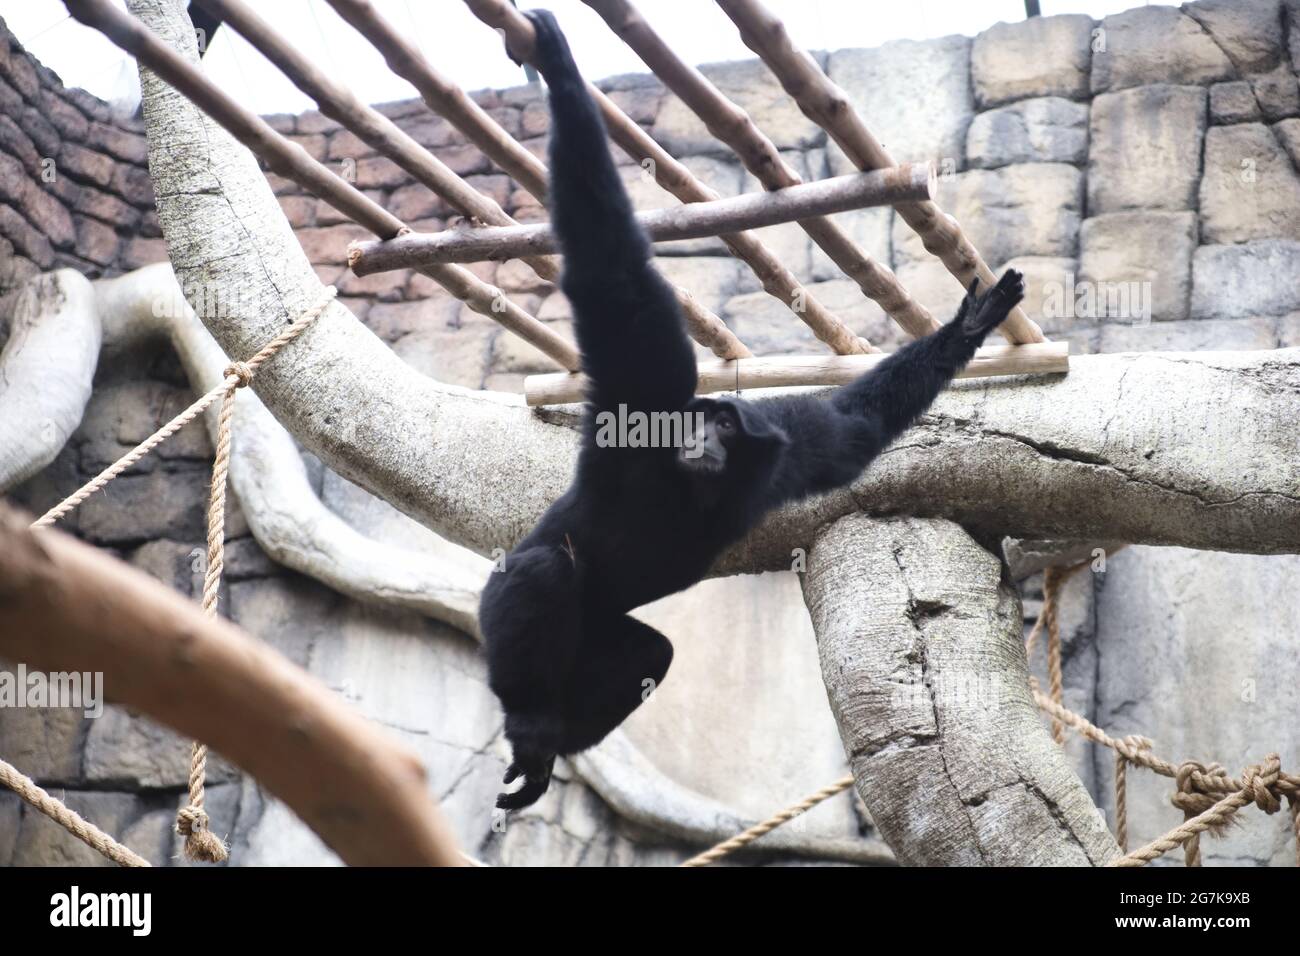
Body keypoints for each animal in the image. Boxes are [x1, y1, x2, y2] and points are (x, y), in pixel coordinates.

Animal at [479, 9, 1027, 810]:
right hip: (499, 603)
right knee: (544, 568)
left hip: (599, 633)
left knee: (648, 654)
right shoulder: (643, 395)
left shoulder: (778, 460)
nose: (705, 436)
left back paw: (553, 747)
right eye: (700, 419)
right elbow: (614, 276)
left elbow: (848, 432)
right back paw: (528, 722)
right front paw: (557, 62)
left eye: (726, 425)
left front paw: (970, 327)